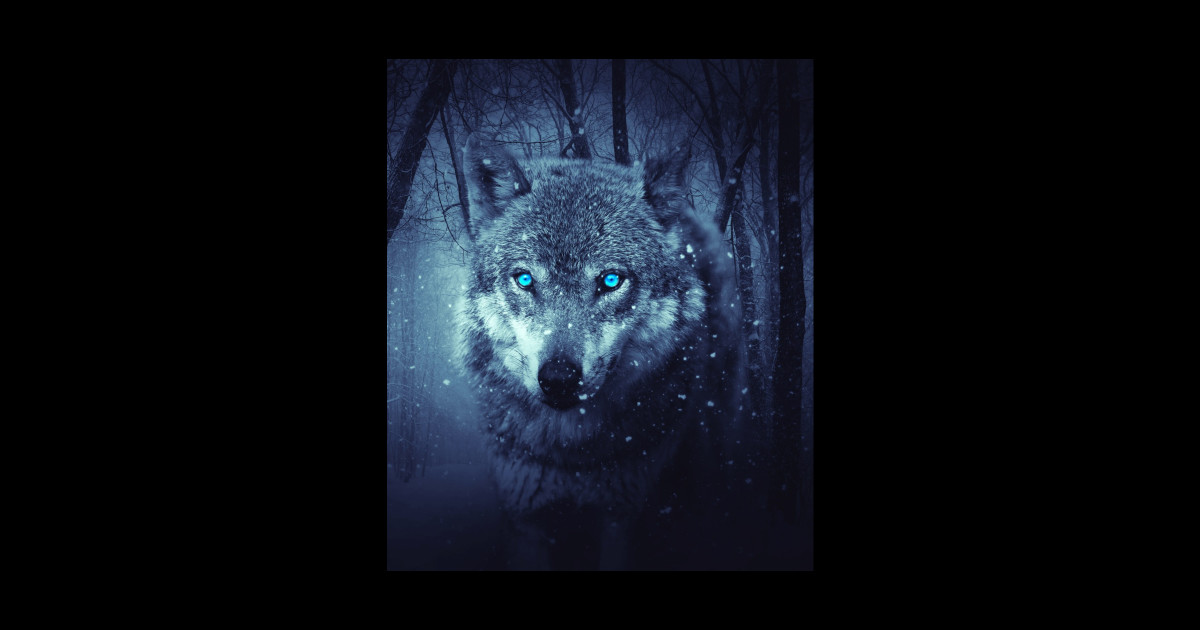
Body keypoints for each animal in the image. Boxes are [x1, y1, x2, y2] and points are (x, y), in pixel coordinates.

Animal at [456, 134, 743, 570]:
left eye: (610, 280)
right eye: (524, 279)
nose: (558, 378)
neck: (572, 456)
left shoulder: (621, 517)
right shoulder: (525, 517)